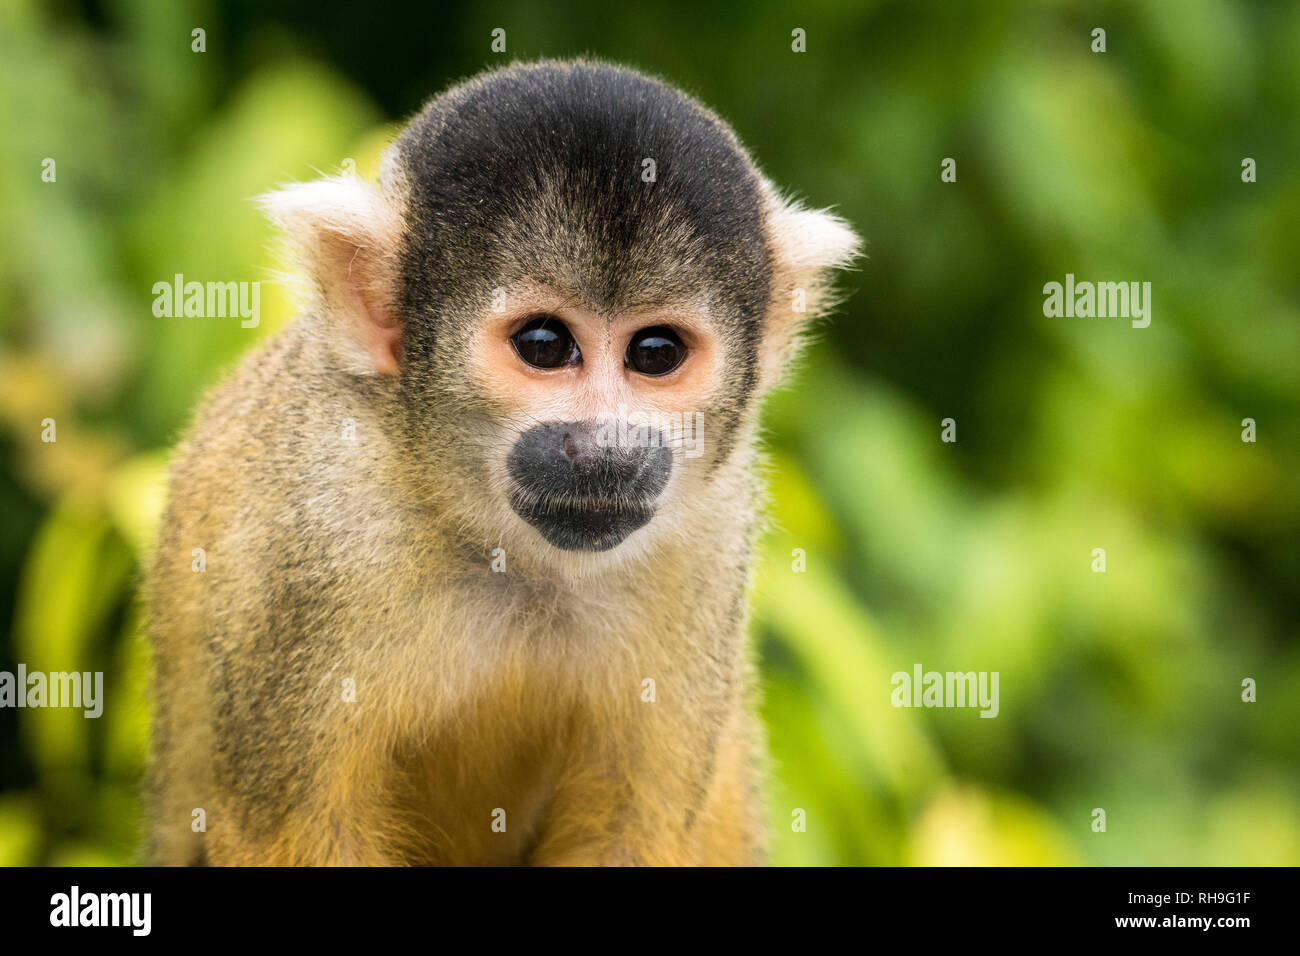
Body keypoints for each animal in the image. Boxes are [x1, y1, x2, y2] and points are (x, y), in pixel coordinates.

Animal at [146, 59, 860, 866]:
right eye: (544, 345)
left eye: (656, 353)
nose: (605, 450)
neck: (514, 558)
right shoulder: (315, 532)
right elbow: (295, 831)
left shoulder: (709, 536)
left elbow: (634, 826)